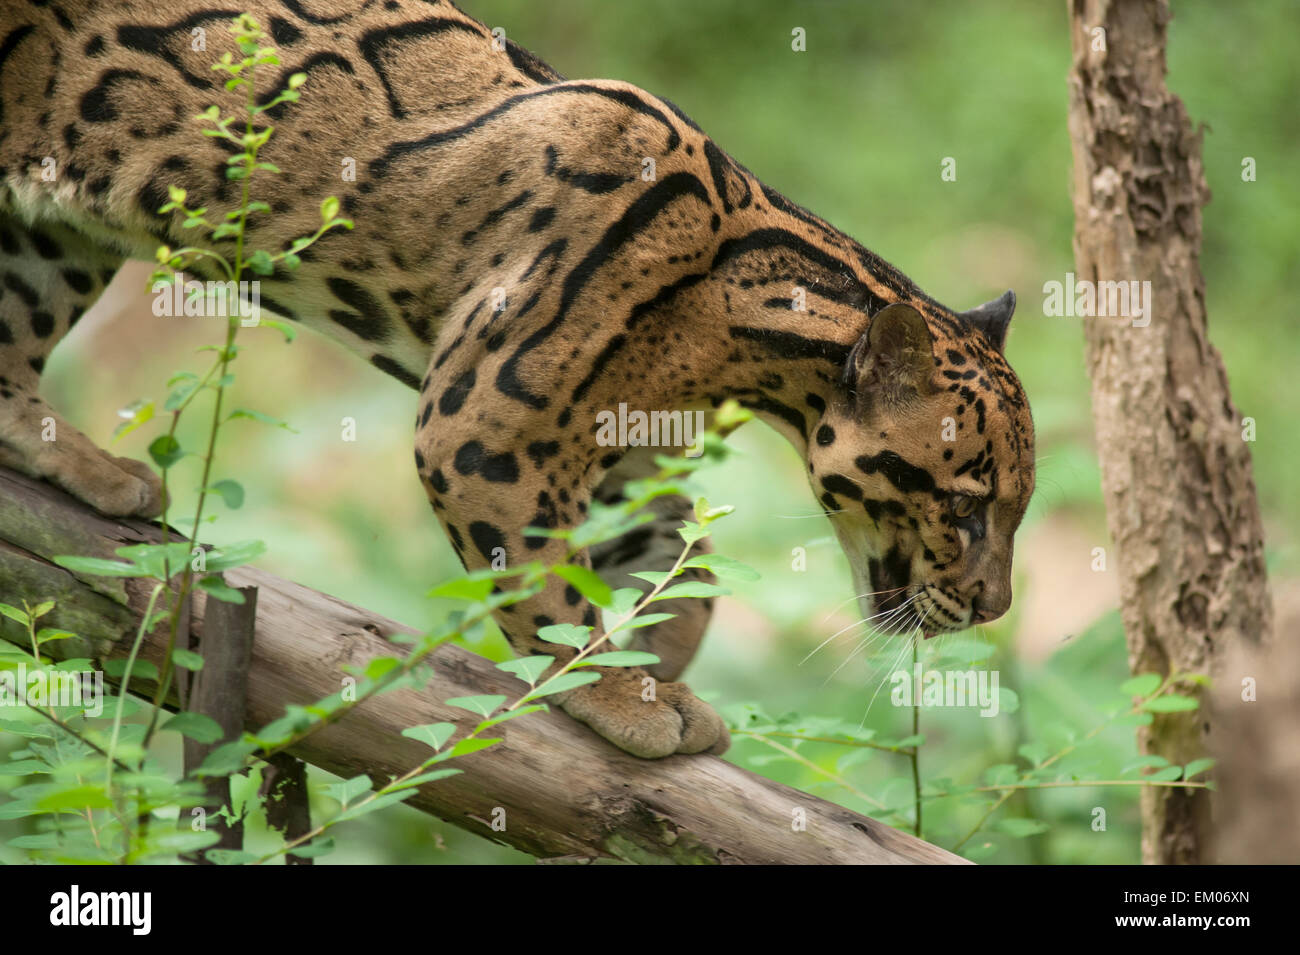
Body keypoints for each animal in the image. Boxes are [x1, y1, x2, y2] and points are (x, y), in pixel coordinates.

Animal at [0, 0, 1035, 759]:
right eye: (966, 504)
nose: (996, 609)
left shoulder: (619, 456)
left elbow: (683, 569)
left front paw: (662, 657)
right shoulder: (482, 431)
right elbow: (549, 589)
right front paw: (619, 690)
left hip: (49, 238)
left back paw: (83, 464)